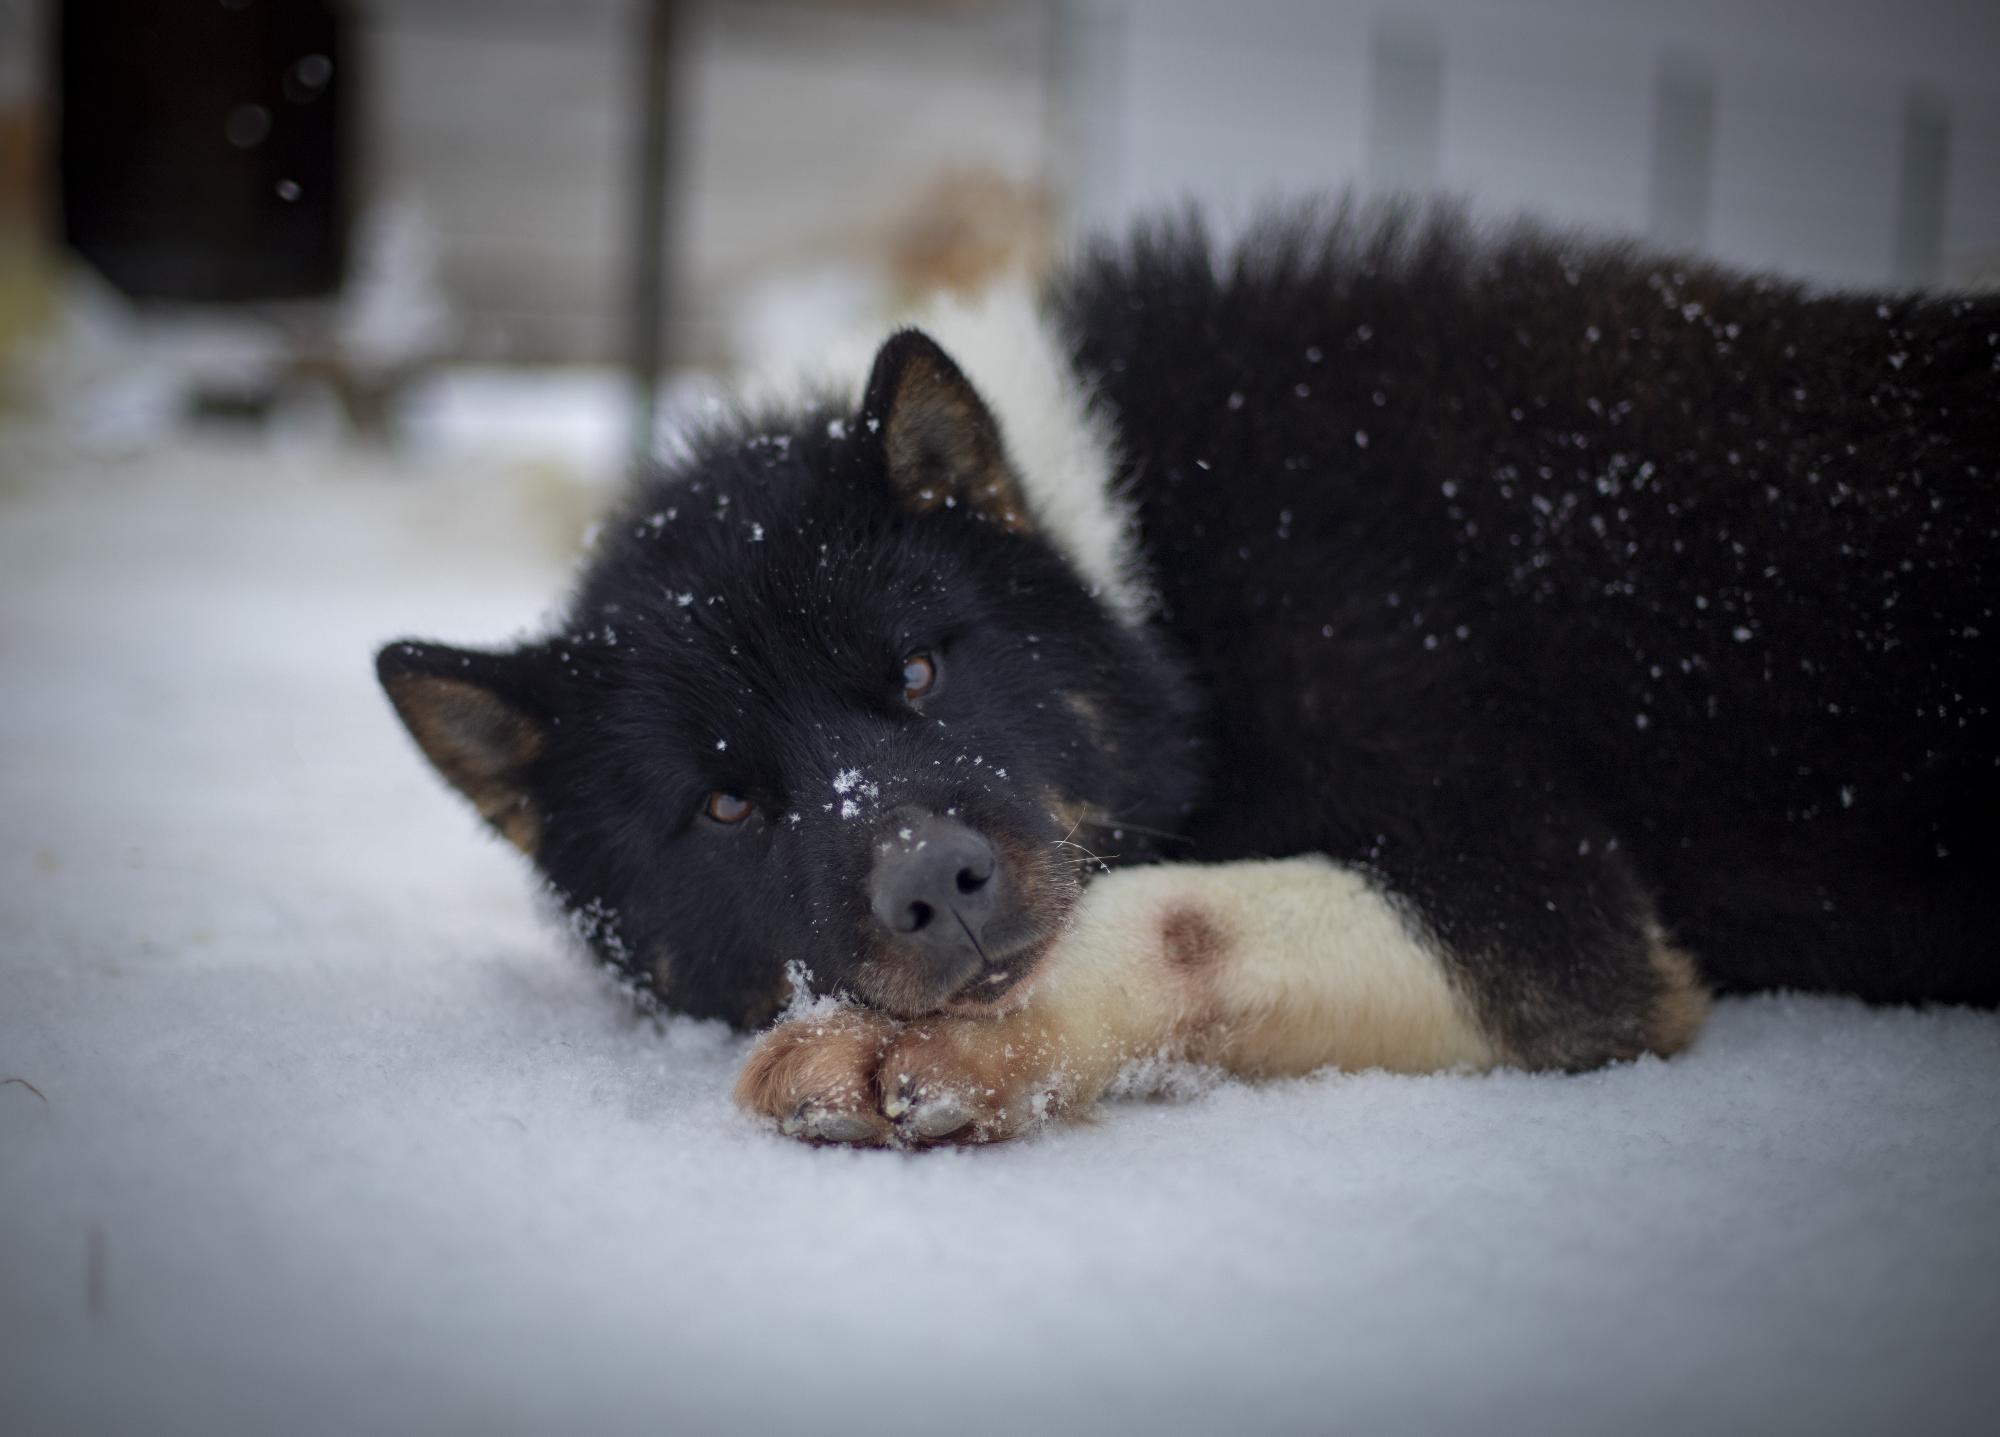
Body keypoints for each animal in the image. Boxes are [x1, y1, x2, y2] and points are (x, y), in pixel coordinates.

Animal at [378, 202, 2000, 1144]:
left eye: (919, 672)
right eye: (724, 807)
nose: (935, 885)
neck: (1149, 561)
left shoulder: (1540, 899)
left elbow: (1182, 912)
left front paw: (965, 1046)